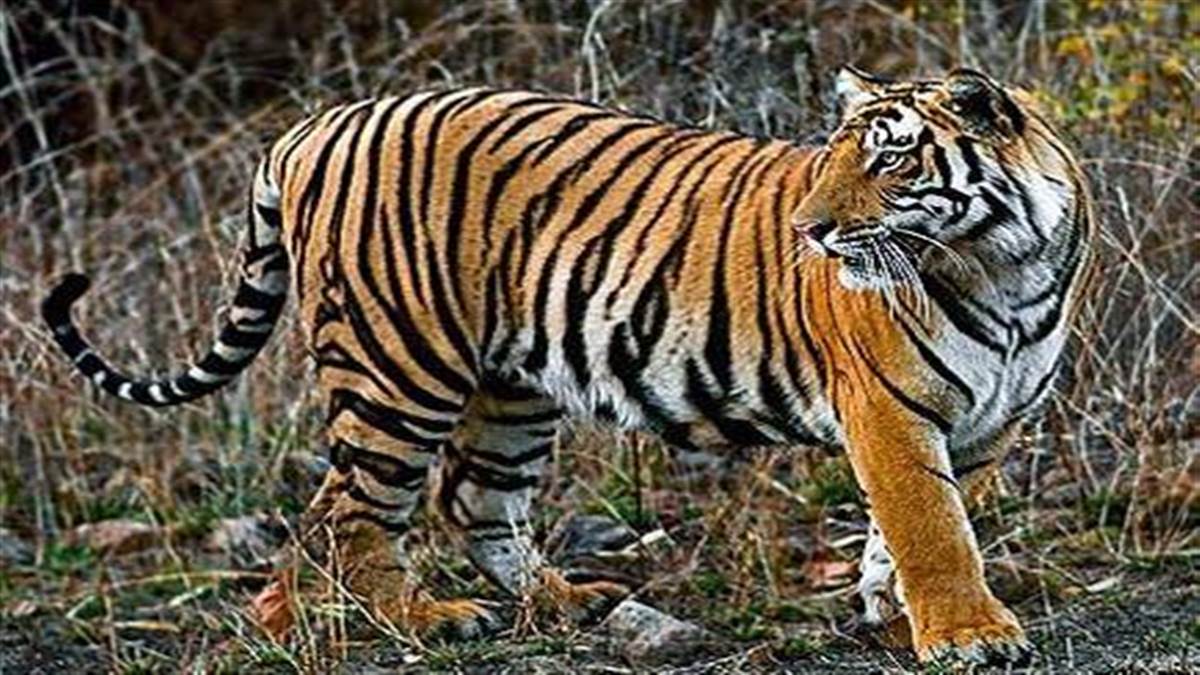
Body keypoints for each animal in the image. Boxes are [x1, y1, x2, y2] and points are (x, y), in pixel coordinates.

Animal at [42, 66, 1095, 664]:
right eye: (837, 157)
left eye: (890, 161)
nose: (810, 230)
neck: (1007, 264)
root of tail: (315, 124)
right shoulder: (887, 405)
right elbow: (933, 526)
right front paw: (968, 636)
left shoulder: (992, 419)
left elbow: (914, 524)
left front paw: (884, 607)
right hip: (398, 368)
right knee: (348, 514)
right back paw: (414, 620)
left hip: (509, 385)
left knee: (470, 497)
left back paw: (562, 602)